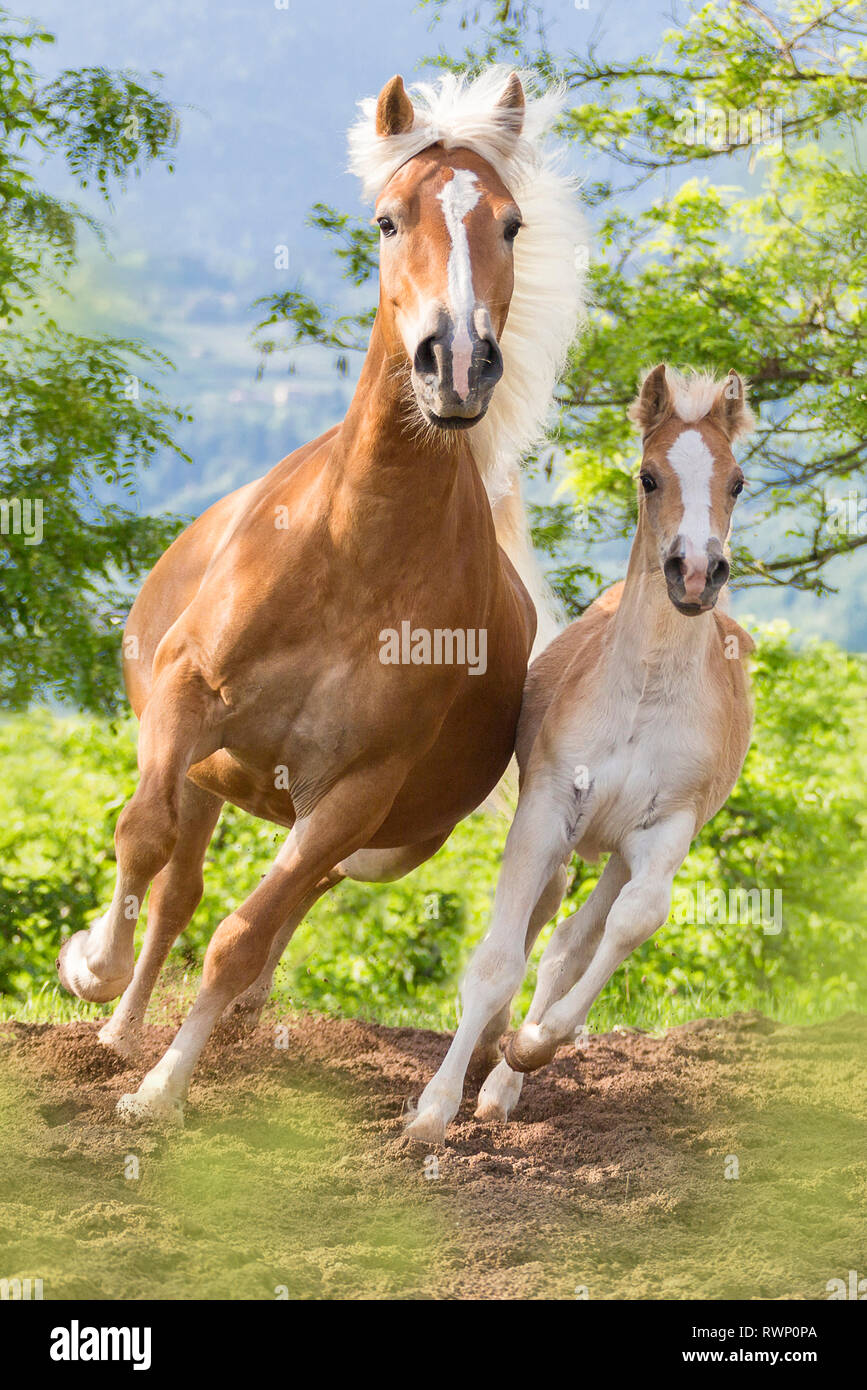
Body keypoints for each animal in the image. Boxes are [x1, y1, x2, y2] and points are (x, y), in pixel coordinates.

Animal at [55, 67, 587, 1125]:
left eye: (509, 225)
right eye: (386, 220)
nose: (455, 365)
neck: (354, 558)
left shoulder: (353, 794)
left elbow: (241, 935)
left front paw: (163, 1093)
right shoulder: (184, 699)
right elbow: (141, 838)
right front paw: (91, 968)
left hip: (357, 835)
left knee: (272, 906)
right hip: (207, 769)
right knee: (173, 882)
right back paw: (119, 1026)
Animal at [406, 365, 756, 1144]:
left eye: (737, 480)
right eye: (648, 476)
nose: (696, 572)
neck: (643, 695)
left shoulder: (665, 830)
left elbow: (630, 923)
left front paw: (532, 1048)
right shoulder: (545, 809)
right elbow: (496, 961)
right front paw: (431, 1112)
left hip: (616, 849)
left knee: (569, 942)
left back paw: (504, 1080)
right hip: (565, 841)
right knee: (538, 930)